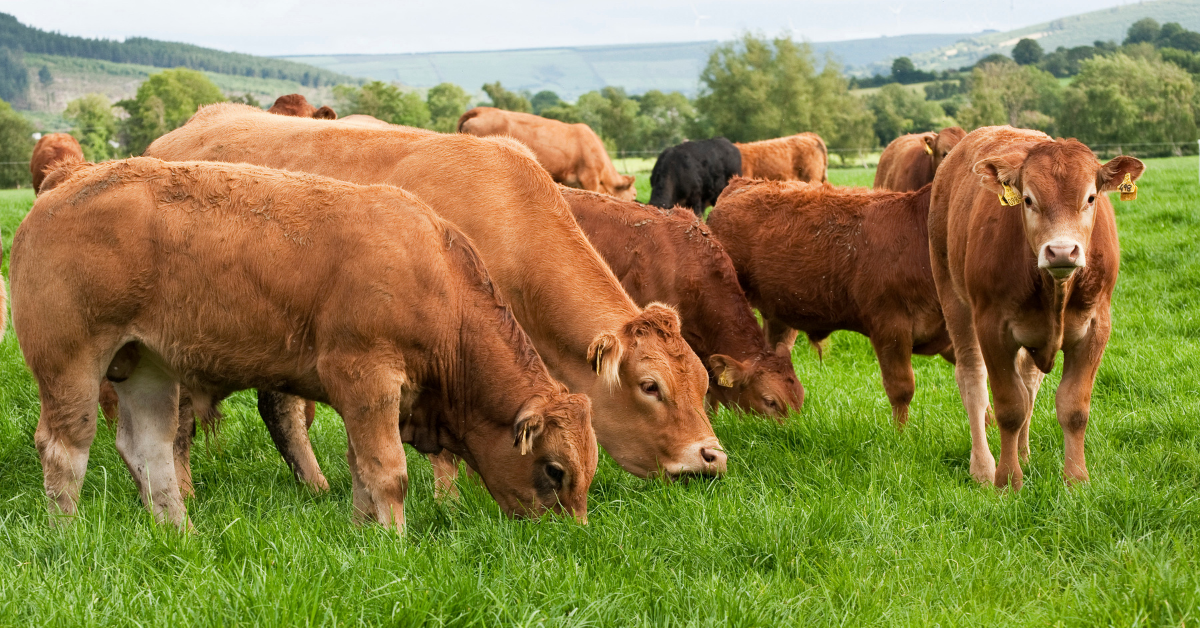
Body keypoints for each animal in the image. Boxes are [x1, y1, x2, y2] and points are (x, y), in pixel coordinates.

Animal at [11, 157, 598, 531]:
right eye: (555, 470)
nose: (570, 535)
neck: (437, 276)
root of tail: (63, 186)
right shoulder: (367, 380)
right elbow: (387, 473)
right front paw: (393, 543)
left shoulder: (367, 399)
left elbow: (361, 468)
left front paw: (364, 535)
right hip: (70, 365)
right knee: (63, 450)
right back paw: (68, 537)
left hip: (147, 368)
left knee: (149, 451)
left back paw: (181, 535)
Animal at [927, 125, 1143, 489]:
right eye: (1028, 199)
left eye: (1090, 198)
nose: (1061, 251)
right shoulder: (992, 328)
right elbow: (1009, 407)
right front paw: (1007, 481)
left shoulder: (1096, 328)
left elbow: (1073, 408)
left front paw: (1076, 480)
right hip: (953, 296)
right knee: (972, 379)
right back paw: (983, 467)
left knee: (1029, 383)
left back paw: (1024, 453)